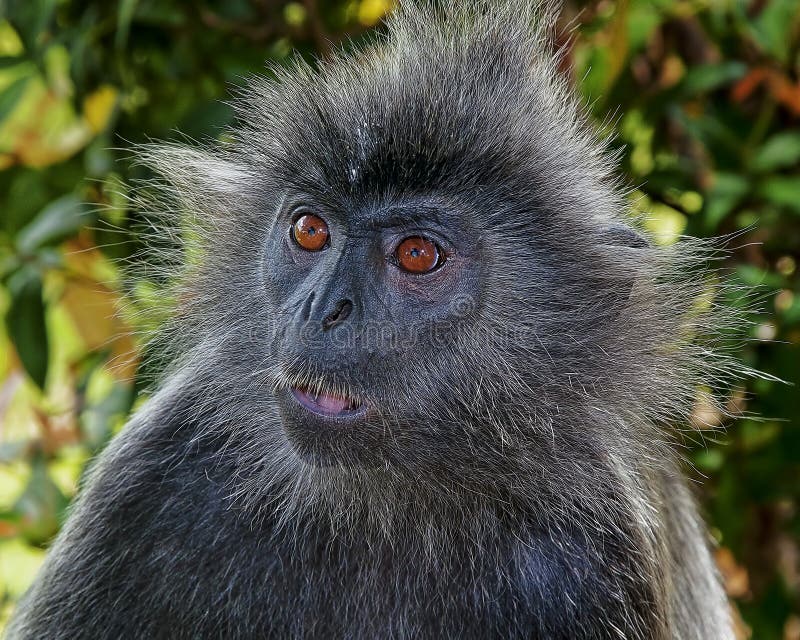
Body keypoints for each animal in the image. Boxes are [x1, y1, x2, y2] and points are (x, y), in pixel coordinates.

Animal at [6, 1, 745, 638]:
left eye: (418, 254)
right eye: (309, 230)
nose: (323, 309)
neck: (381, 510)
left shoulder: (596, 554)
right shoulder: (152, 473)